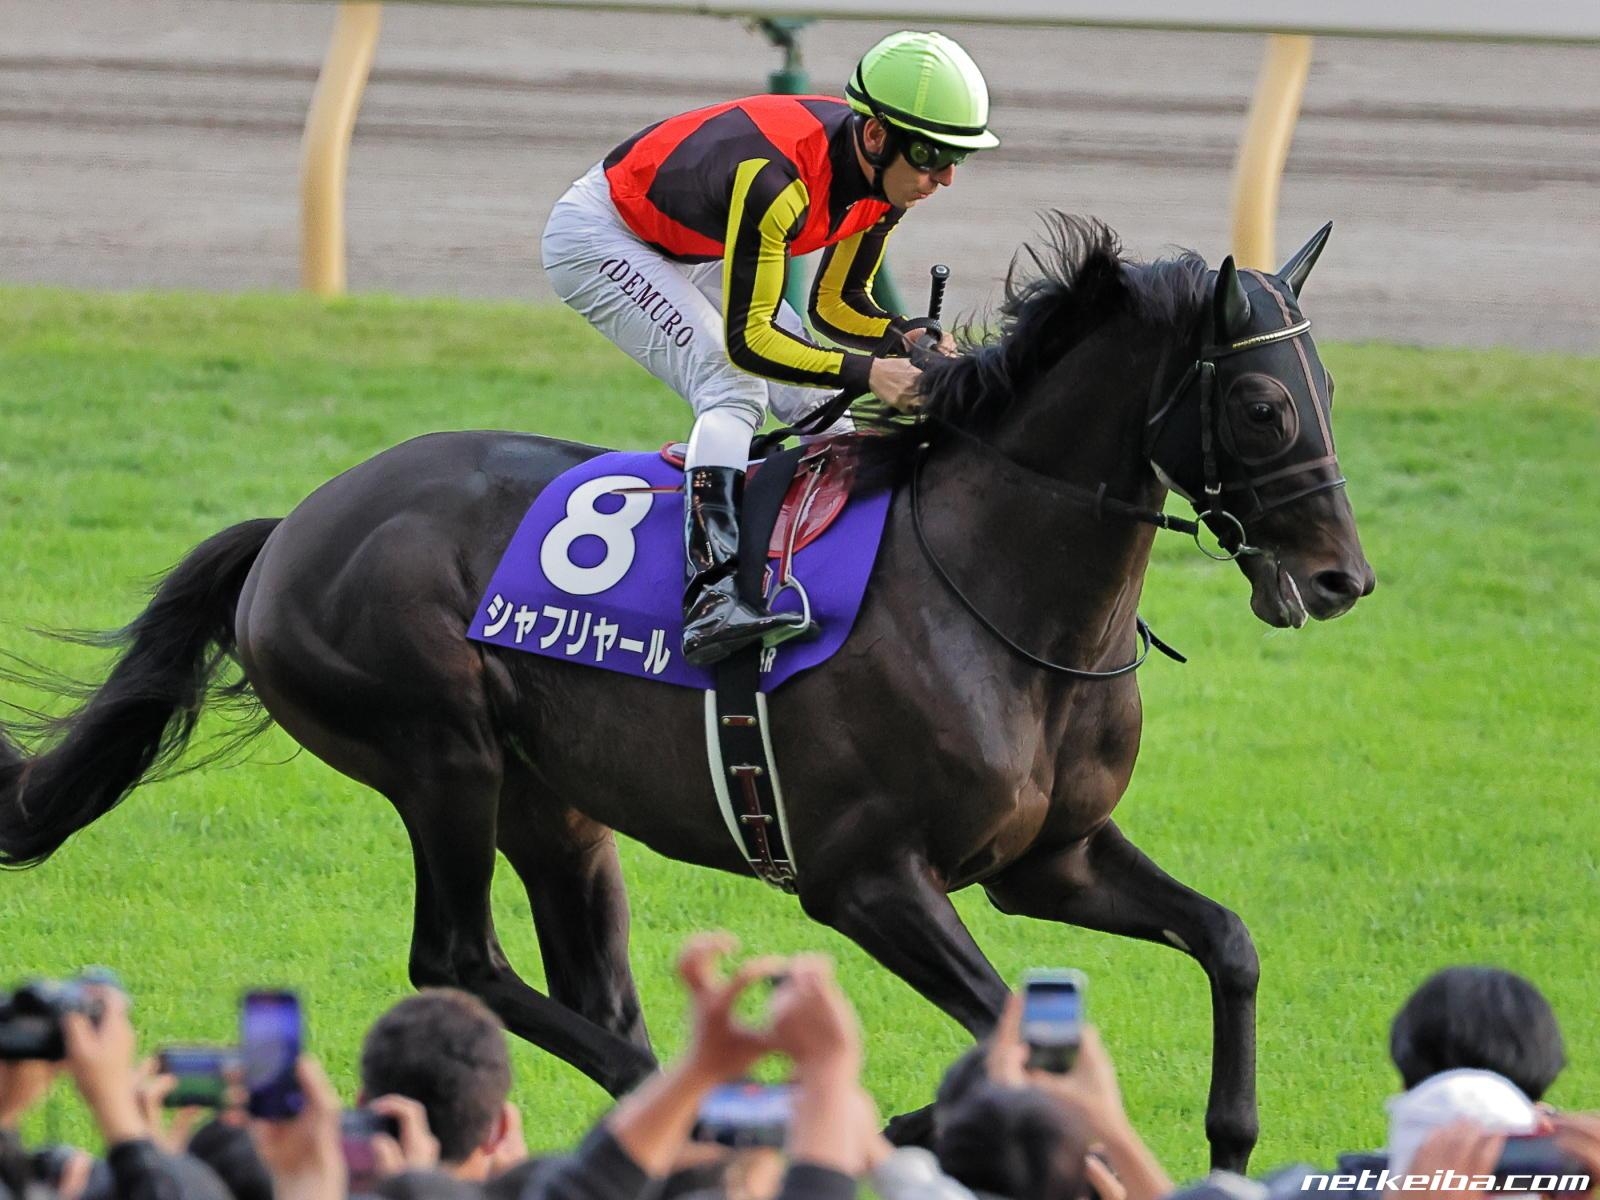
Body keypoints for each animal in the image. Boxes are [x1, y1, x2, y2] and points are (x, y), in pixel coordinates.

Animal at [0, 217, 1372, 1169]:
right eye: (1261, 403)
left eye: (1328, 391)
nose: (1340, 577)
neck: (991, 594)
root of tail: (293, 525)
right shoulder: (864, 878)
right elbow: (999, 1035)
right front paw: (913, 1123)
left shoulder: (1051, 858)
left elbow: (1229, 942)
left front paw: (1228, 1136)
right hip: (440, 751)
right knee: (457, 955)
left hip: (553, 804)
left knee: (585, 985)